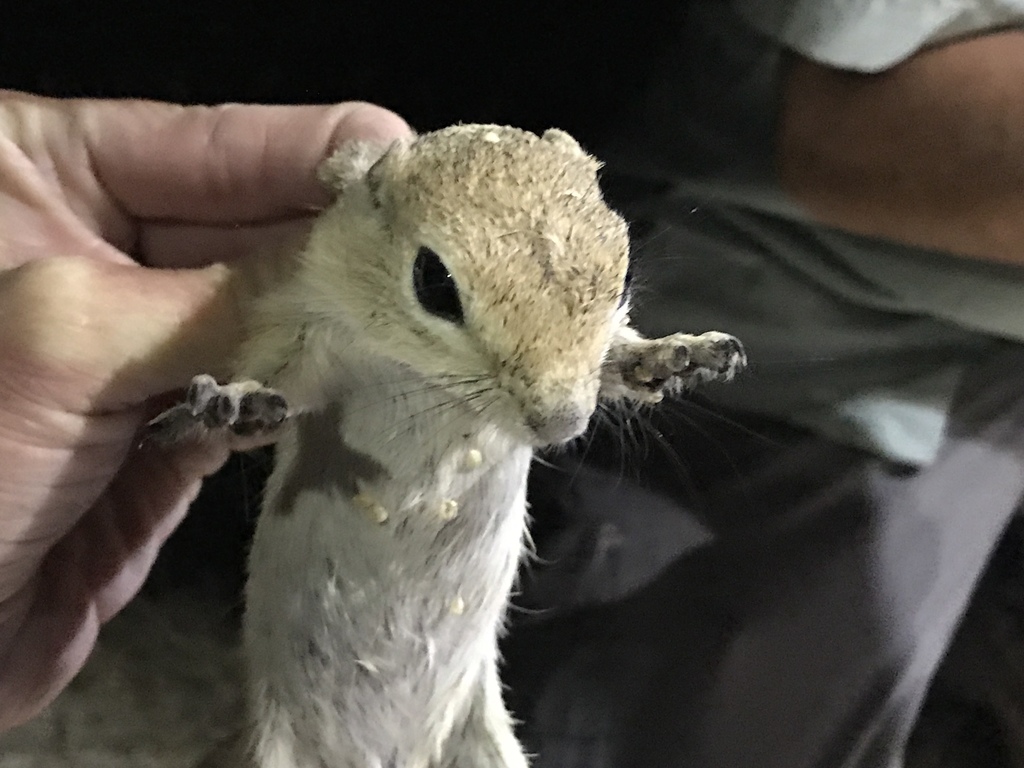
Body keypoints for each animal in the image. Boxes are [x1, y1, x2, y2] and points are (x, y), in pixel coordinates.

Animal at [148, 124, 746, 768]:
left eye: (626, 276)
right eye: (433, 282)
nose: (560, 424)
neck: (435, 384)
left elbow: (618, 363)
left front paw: (680, 354)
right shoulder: (308, 326)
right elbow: (279, 377)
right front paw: (229, 401)